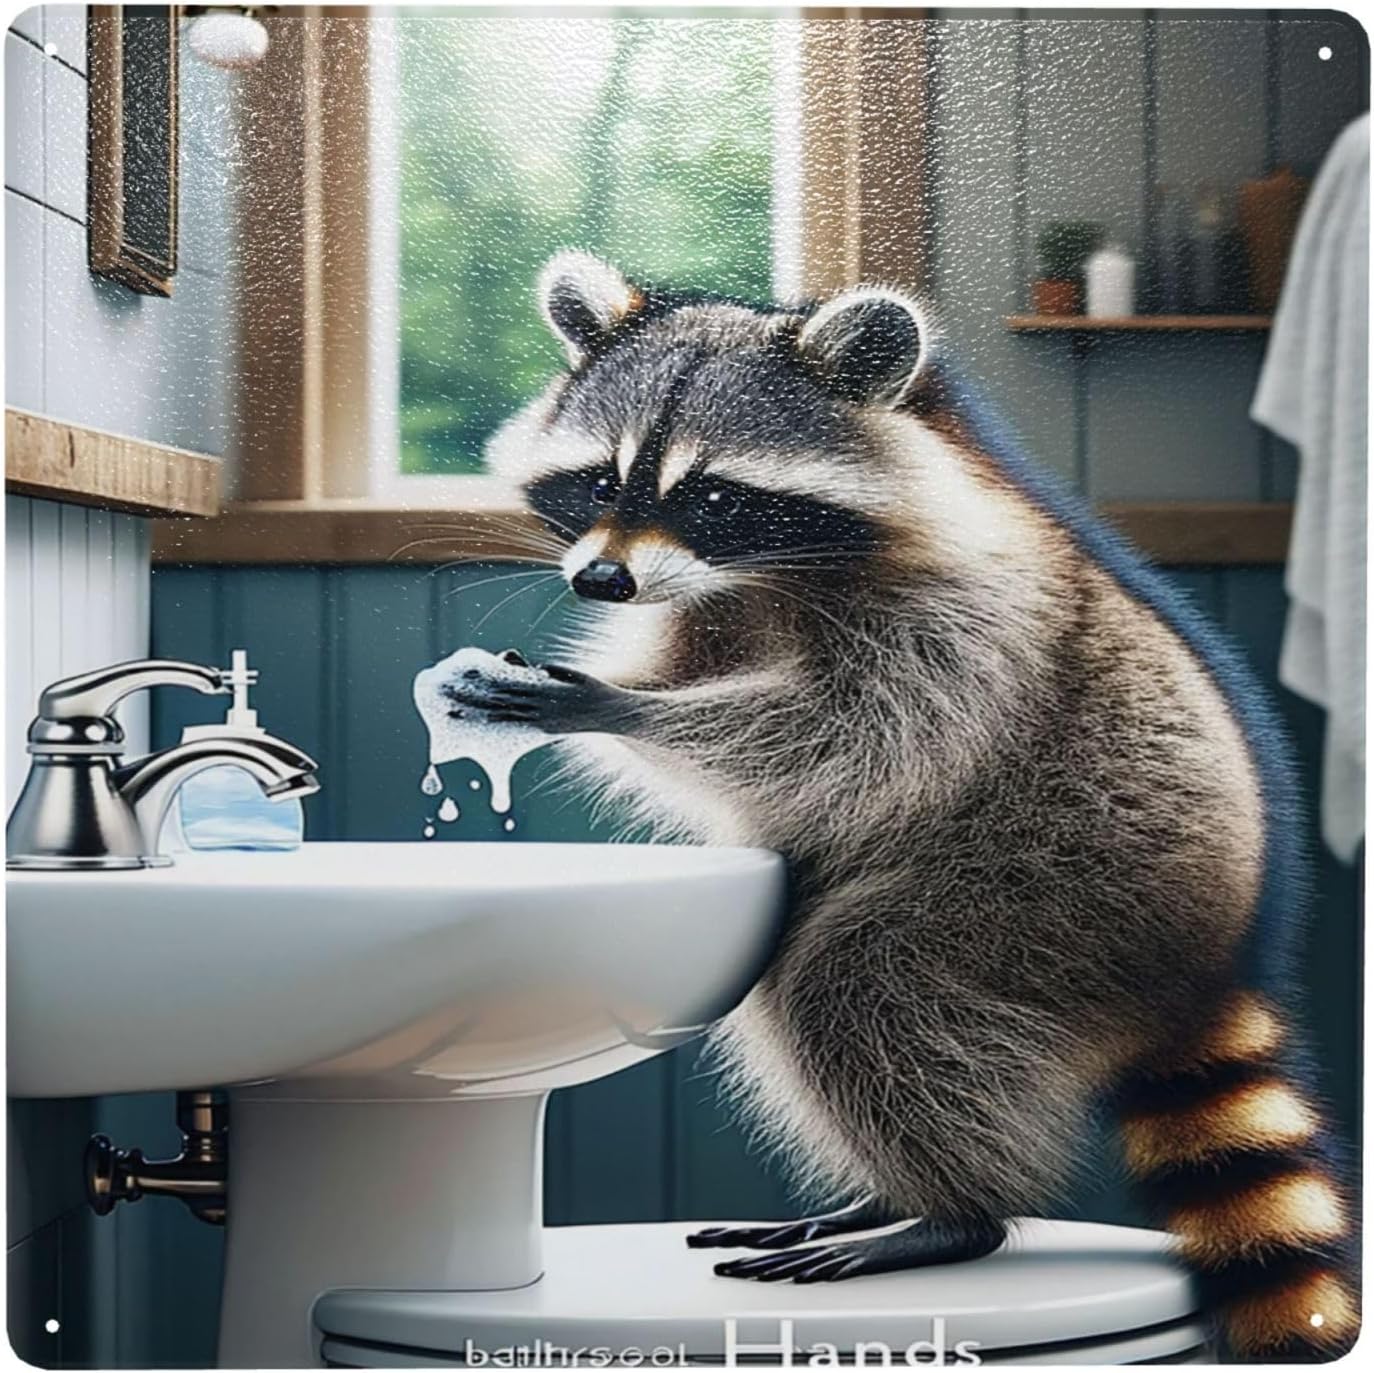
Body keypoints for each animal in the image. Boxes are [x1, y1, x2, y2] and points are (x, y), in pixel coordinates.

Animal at [450, 250, 1361, 1361]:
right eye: (598, 480)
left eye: (713, 493)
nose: (603, 579)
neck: (761, 572)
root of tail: (1210, 963)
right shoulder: (706, 605)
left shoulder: (962, 617)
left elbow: (853, 735)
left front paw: (615, 705)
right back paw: (888, 1195)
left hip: (1072, 883)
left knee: (865, 984)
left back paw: (953, 1213)